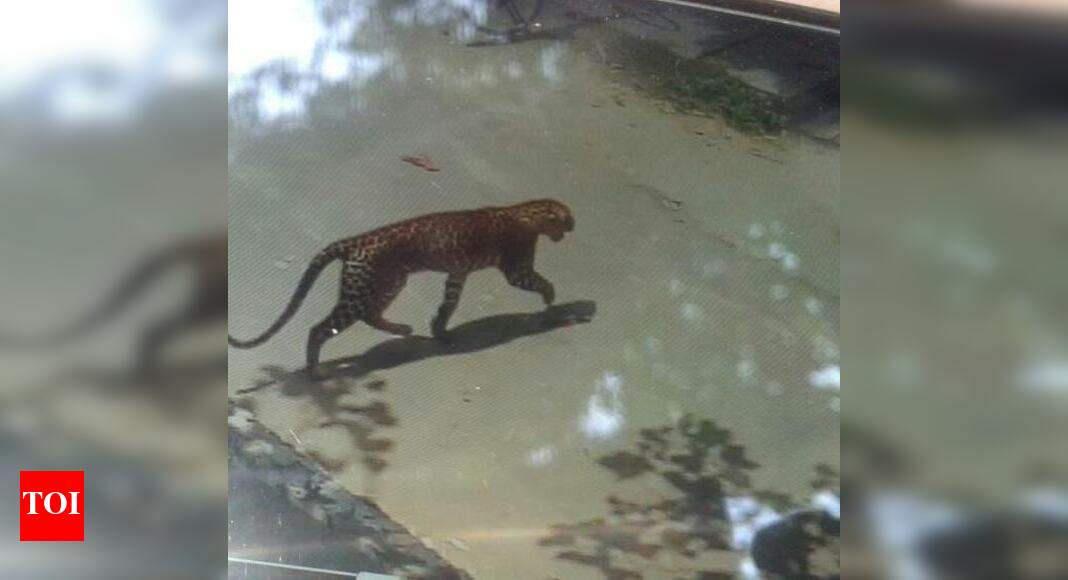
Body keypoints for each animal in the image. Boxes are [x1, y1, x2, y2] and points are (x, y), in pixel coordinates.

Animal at [227, 199, 575, 373]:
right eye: (567, 219)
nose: (571, 228)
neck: (531, 213)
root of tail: (353, 241)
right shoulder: (517, 269)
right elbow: (541, 282)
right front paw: (553, 300)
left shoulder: (457, 272)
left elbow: (449, 304)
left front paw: (440, 331)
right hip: (366, 289)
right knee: (321, 328)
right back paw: (315, 371)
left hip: (389, 282)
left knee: (370, 315)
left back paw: (404, 330)